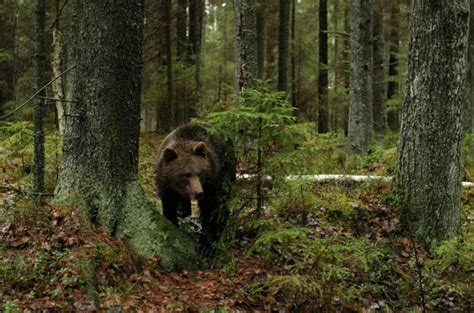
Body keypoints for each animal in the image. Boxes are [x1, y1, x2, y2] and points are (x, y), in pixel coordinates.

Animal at [156, 123, 236, 255]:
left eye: (200, 173)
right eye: (185, 174)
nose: (199, 193)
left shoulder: (213, 182)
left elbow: (212, 209)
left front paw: (206, 246)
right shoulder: (165, 183)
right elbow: (168, 203)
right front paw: (172, 222)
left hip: (227, 169)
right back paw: (182, 209)